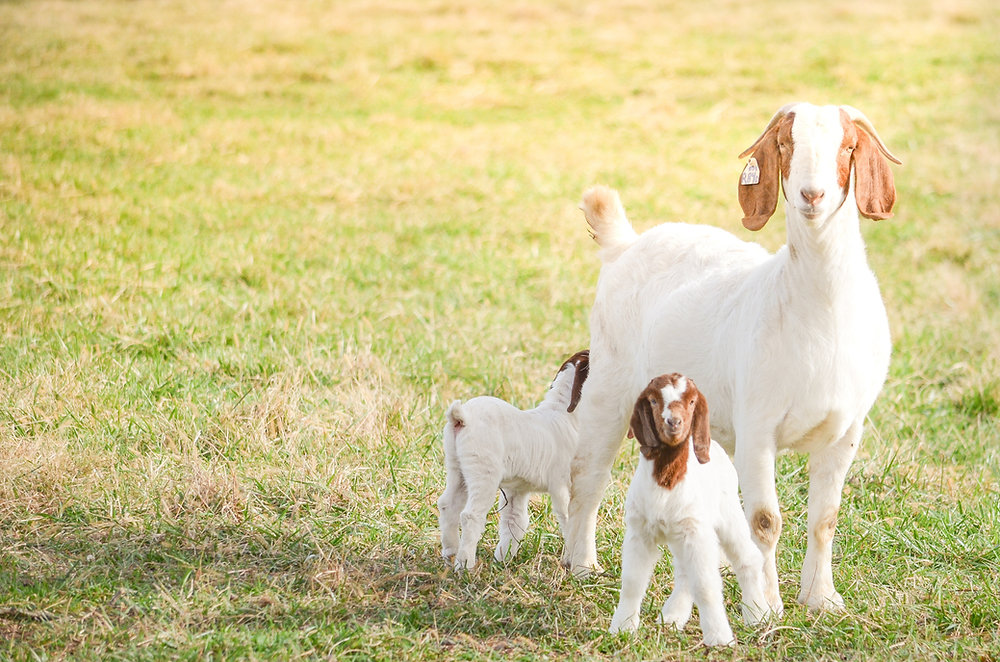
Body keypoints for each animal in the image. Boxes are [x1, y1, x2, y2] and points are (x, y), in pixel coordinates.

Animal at [438, 350, 590, 570]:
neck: (562, 413)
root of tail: (461, 417)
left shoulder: (517, 489)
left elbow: (515, 521)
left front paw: (503, 559)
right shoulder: (561, 484)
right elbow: (568, 518)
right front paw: (569, 561)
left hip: (457, 468)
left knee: (447, 505)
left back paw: (450, 553)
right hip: (484, 472)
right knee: (470, 515)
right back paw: (465, 564)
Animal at [563, 103, 901, 613]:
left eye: (848, 147)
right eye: (785, 145)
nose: (812, 194)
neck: (817, 310)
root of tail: (626, 243)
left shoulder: (846, 431)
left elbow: (825, 517)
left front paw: (821, 598)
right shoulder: (757, 429)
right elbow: (765, 521)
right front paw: (765, 607)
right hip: (610, 384)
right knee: (588, 474)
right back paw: (582, 563)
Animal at [609, 374, 771, 646]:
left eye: (692, 401)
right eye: (654, 400)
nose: (674, 422)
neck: (666, 479)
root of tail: (716, 447)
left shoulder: (696, 531)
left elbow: (705, 585)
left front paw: (719, 638)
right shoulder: (640, 531)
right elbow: (632, 581)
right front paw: (622, 627)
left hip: (726, 514)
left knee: (747, 558)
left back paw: (757, 614)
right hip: (682, 534)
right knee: (686, 572)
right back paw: (672, 617)